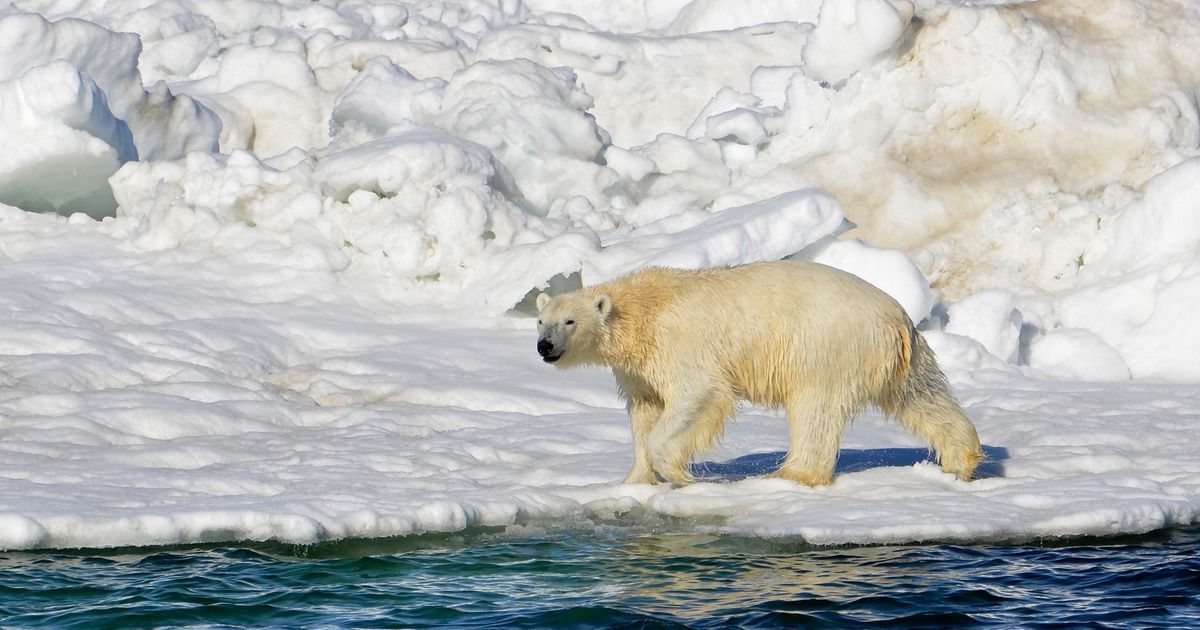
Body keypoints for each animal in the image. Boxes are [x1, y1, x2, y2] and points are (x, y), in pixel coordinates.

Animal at [535, 260, 982, 486]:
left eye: (570, 321)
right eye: (541, 321)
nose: (545, 346)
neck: (643, 310)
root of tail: (896, 317)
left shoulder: (680, 345)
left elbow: (698, 394)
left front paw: (679, 474)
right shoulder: (638, 369)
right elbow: (645, 411)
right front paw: (634, 481)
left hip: (825, 346)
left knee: (815, 409)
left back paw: (791, 474)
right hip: (900, 357)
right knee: (922, 397)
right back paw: (960, 460)